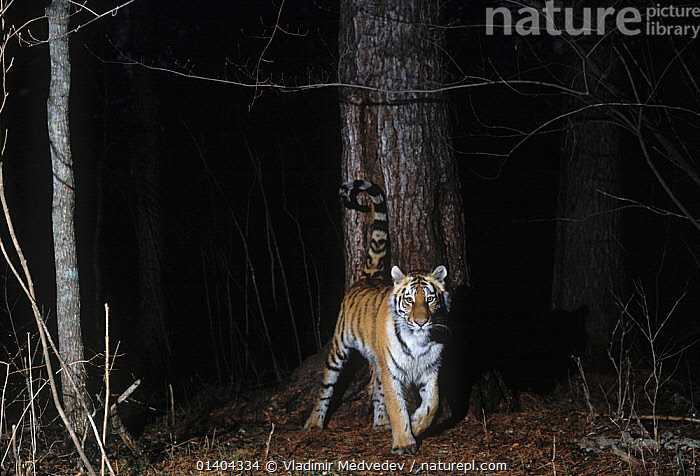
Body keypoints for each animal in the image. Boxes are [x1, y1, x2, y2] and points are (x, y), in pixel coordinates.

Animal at [304, 179, 450, 455]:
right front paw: (404, 442)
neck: (419, 339)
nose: (421, 321)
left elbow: (433, 403)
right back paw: (314, 422)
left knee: (377, 392)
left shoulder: (431, 370)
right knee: (326, 388)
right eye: (409, 300)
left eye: (430, 299)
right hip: (339, 349)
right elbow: (397, 407)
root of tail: (367, 278)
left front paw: (417, 423)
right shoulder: (393, 373)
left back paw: (381, 422)